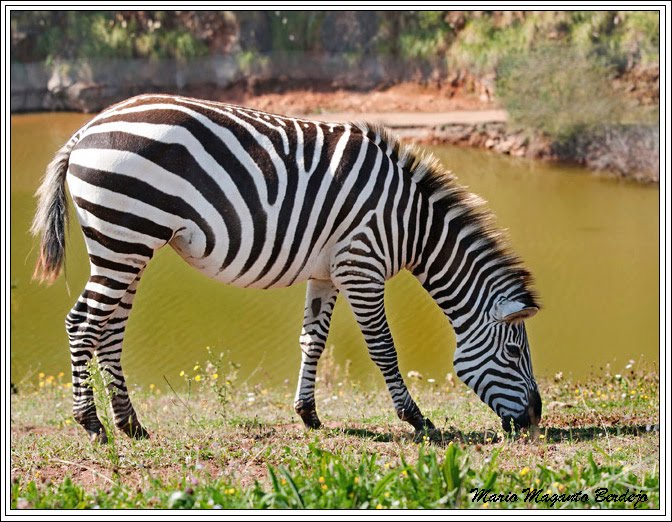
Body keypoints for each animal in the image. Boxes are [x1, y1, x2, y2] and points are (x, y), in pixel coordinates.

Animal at [31, 94, 542, 443]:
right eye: (514, 352)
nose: (536, 420)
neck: (410, 222)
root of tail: (88, 129)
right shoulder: (362, 265)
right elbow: (384, 349)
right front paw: (417, 420)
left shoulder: (328, 271)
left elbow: (312, 340)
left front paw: (308, 415)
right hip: (125, 237)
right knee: (82, 324)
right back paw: (92, 424)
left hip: (127, 246)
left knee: (109, 328)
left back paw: (130, 423)